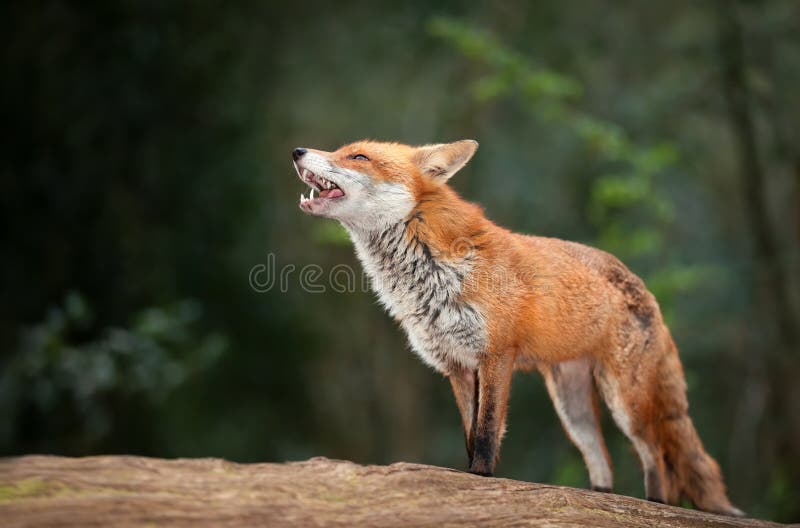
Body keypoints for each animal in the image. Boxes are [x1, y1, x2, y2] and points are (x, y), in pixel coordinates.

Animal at [291, 139, 743, 516]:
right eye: (341, 149)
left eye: (358, 156)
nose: (297, 151)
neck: (430, 269)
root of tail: (643, 287)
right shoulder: (457, 366)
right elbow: (469, 431)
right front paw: (468, 477)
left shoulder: (496, 355)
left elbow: (488, 430)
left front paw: (481, 479)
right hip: (572, 408)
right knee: (603, 461)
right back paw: (600, 501)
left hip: (624, 402)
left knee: (657, 458)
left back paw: (654, 504)